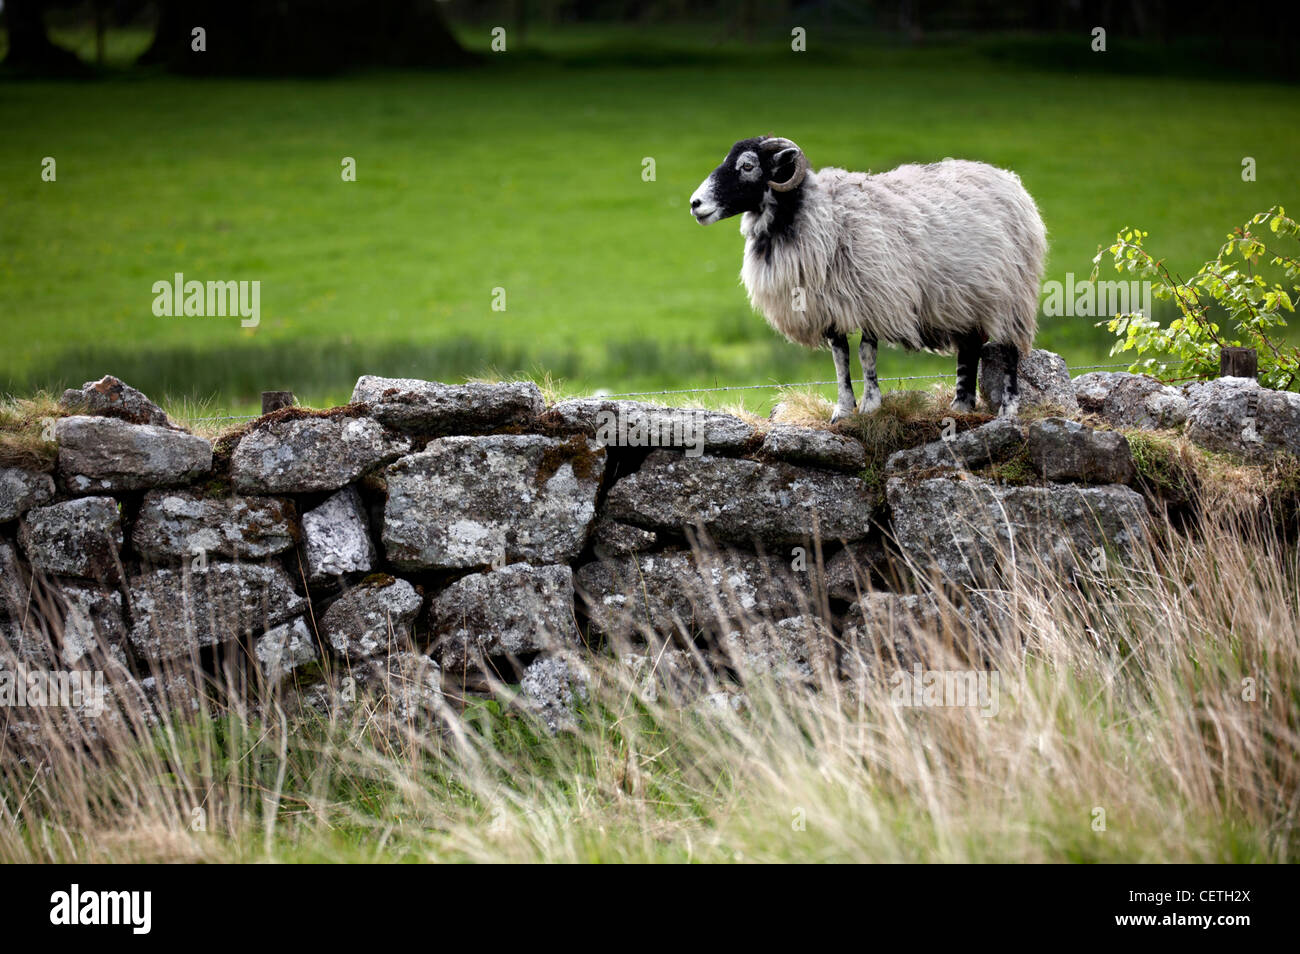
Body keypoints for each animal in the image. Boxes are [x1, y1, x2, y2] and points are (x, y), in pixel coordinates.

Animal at [689, 137, 1047, 420]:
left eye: (748, 166)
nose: (695, 204)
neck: (816, 215)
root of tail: (1009, 180)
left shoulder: (874, 296)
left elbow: (865, 353)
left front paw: (871, 405)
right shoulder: (829, 306)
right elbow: (840, 357)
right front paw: (843, 410)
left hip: (1011, 293)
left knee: (1009, 349)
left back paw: (1008, 410)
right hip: (965, 299)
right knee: (970, 348)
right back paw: (961, 406)